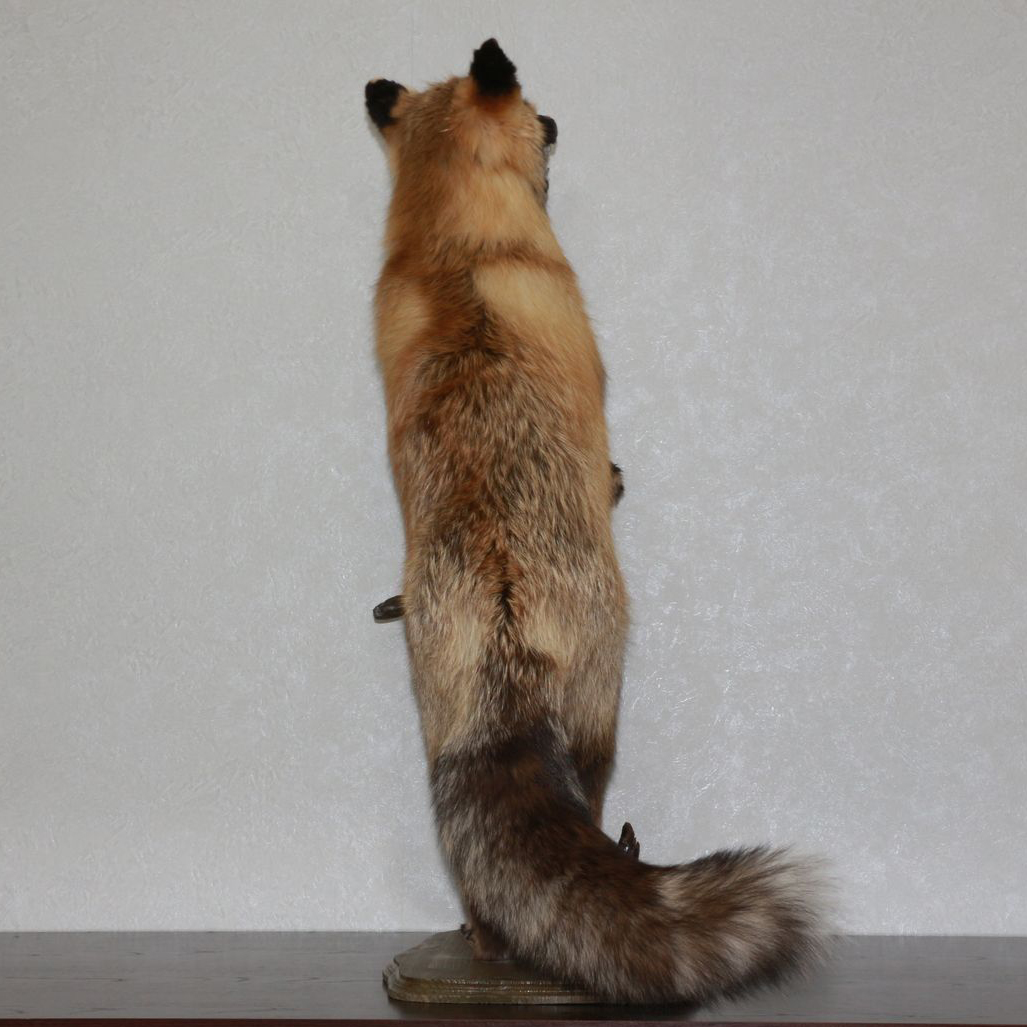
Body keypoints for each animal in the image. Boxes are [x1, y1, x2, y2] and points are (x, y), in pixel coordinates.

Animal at [365, 39, 828, 1005]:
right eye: (535, 115)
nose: (553, 122)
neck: (456, 251)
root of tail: (503, 627)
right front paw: (613, 478)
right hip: (600, 708)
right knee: (590, 797)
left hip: (434, 728)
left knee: (479, 884)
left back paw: (488, 942)